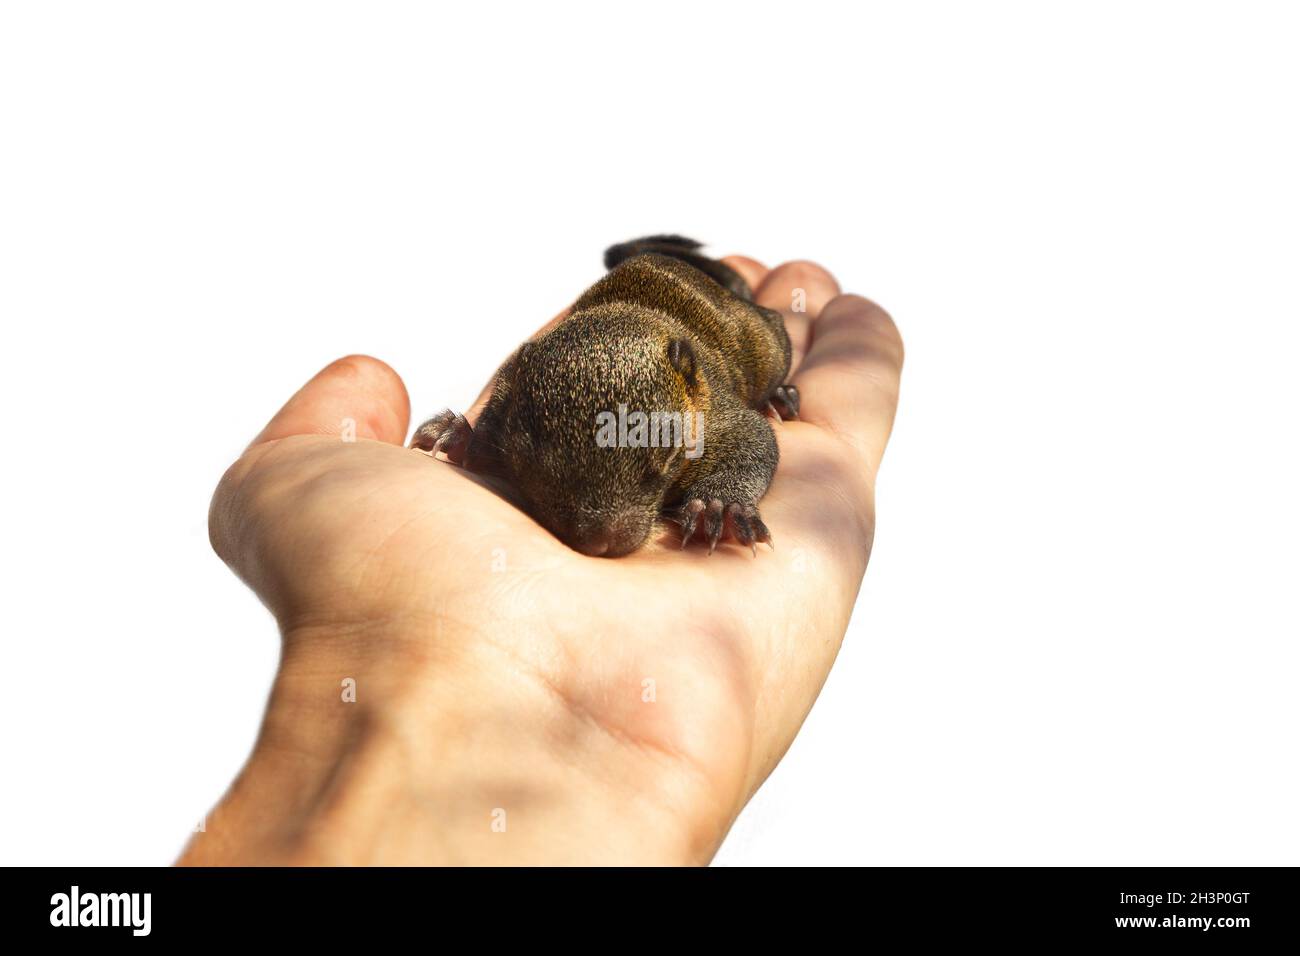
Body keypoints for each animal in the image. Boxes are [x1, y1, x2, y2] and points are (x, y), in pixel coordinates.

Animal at [410, 235, 798, 557]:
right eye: (530, 456)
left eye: (670, 457)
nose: (602, 543)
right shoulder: (505, 393)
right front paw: (458, 436)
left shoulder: (713, 416)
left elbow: (754, 439)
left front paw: (719, 505)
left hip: (766, 341)